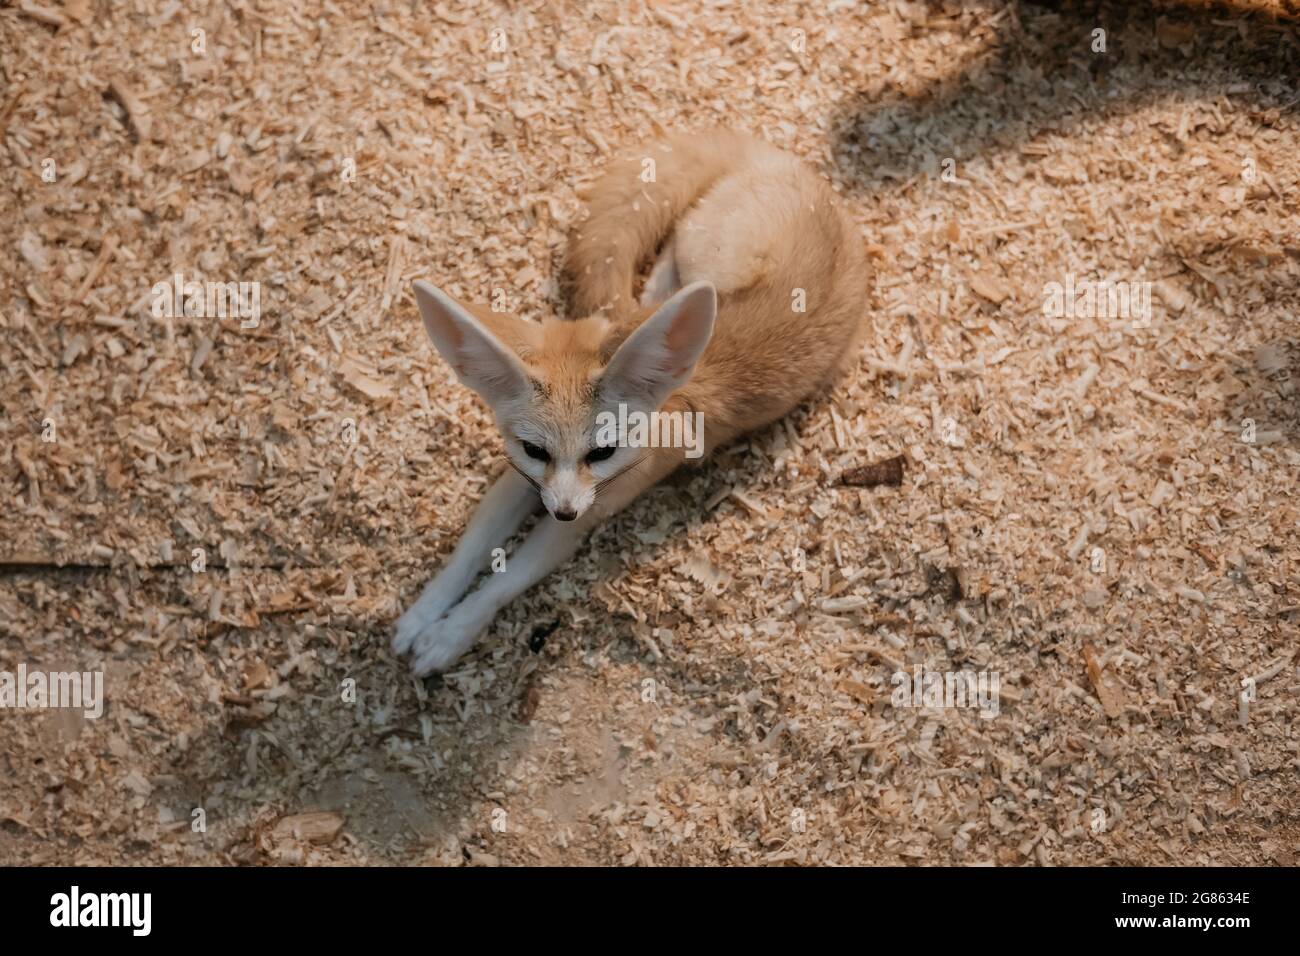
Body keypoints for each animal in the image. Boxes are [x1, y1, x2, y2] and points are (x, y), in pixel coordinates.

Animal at [393, 130, 872, 675]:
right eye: (536, 450)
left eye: (602, 452)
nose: (562, 510)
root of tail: (786, 161)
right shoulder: (524, 478)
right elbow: (468, 550)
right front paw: (422, 614)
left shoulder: (590, 511)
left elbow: (503, 582)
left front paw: (449, 634)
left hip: (714, 255)